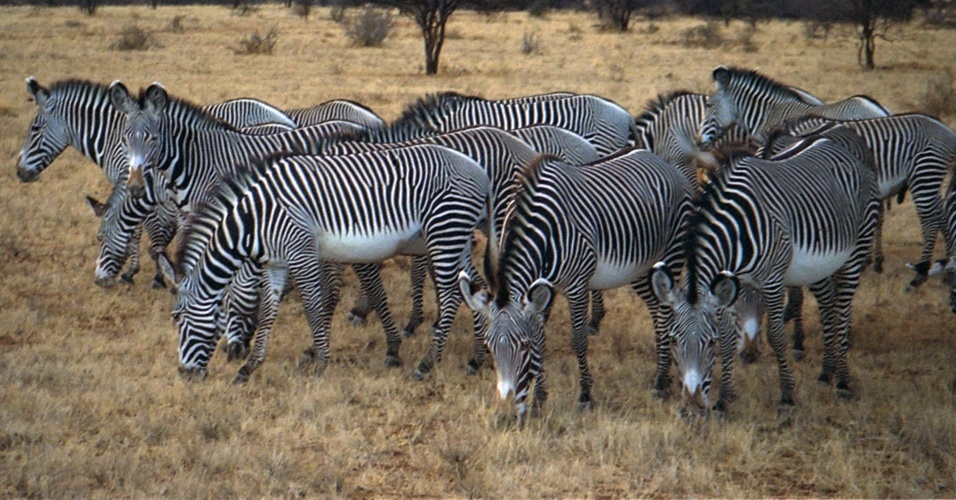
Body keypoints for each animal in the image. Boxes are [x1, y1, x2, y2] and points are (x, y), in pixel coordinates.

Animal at [172, 145, 488, 382]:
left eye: (178, 319)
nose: (184, 375)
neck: (254, 220)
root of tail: (478, 168)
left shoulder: (302, 254)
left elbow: (314, 307)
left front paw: (320, 364)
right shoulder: (277, 264)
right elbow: (268, 313)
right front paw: (249, 367)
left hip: (444, 232)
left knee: (451, 296)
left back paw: (427, 363)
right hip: (455, 238)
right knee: (476, 288)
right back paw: (477, 358)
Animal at [459, 150, 696, 416]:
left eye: (522, 346)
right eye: (488, 346)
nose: (505, 412)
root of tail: (664, 163)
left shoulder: (577, 286)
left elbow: (579, 339)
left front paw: (585, 395)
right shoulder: (544, 289)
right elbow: (541, 338)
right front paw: (539, 398)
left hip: (671, 253)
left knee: (665, 313)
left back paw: (661, 382)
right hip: (641, 267)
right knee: (657, 312)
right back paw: (662, 372)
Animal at [649, 132, 880, 415]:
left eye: (710, 343)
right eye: (673, 340)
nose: (691, 407)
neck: (736, 234)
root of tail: (840, 147)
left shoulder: (772, 281)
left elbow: (776, 336)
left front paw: (787, 396)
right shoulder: (728, 286)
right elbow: (730, 337)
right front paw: (724, 399)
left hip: (857, 249)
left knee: (843, 312)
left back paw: (843, 382)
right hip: (820, 265)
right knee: (828, 305)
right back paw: (827, 372)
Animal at [763, 114, 956, 289]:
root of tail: (944, 129)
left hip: (924, 174)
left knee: (930, 222)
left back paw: (919, 275)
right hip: (929, 179)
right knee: (942, 215)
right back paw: (946, 268)